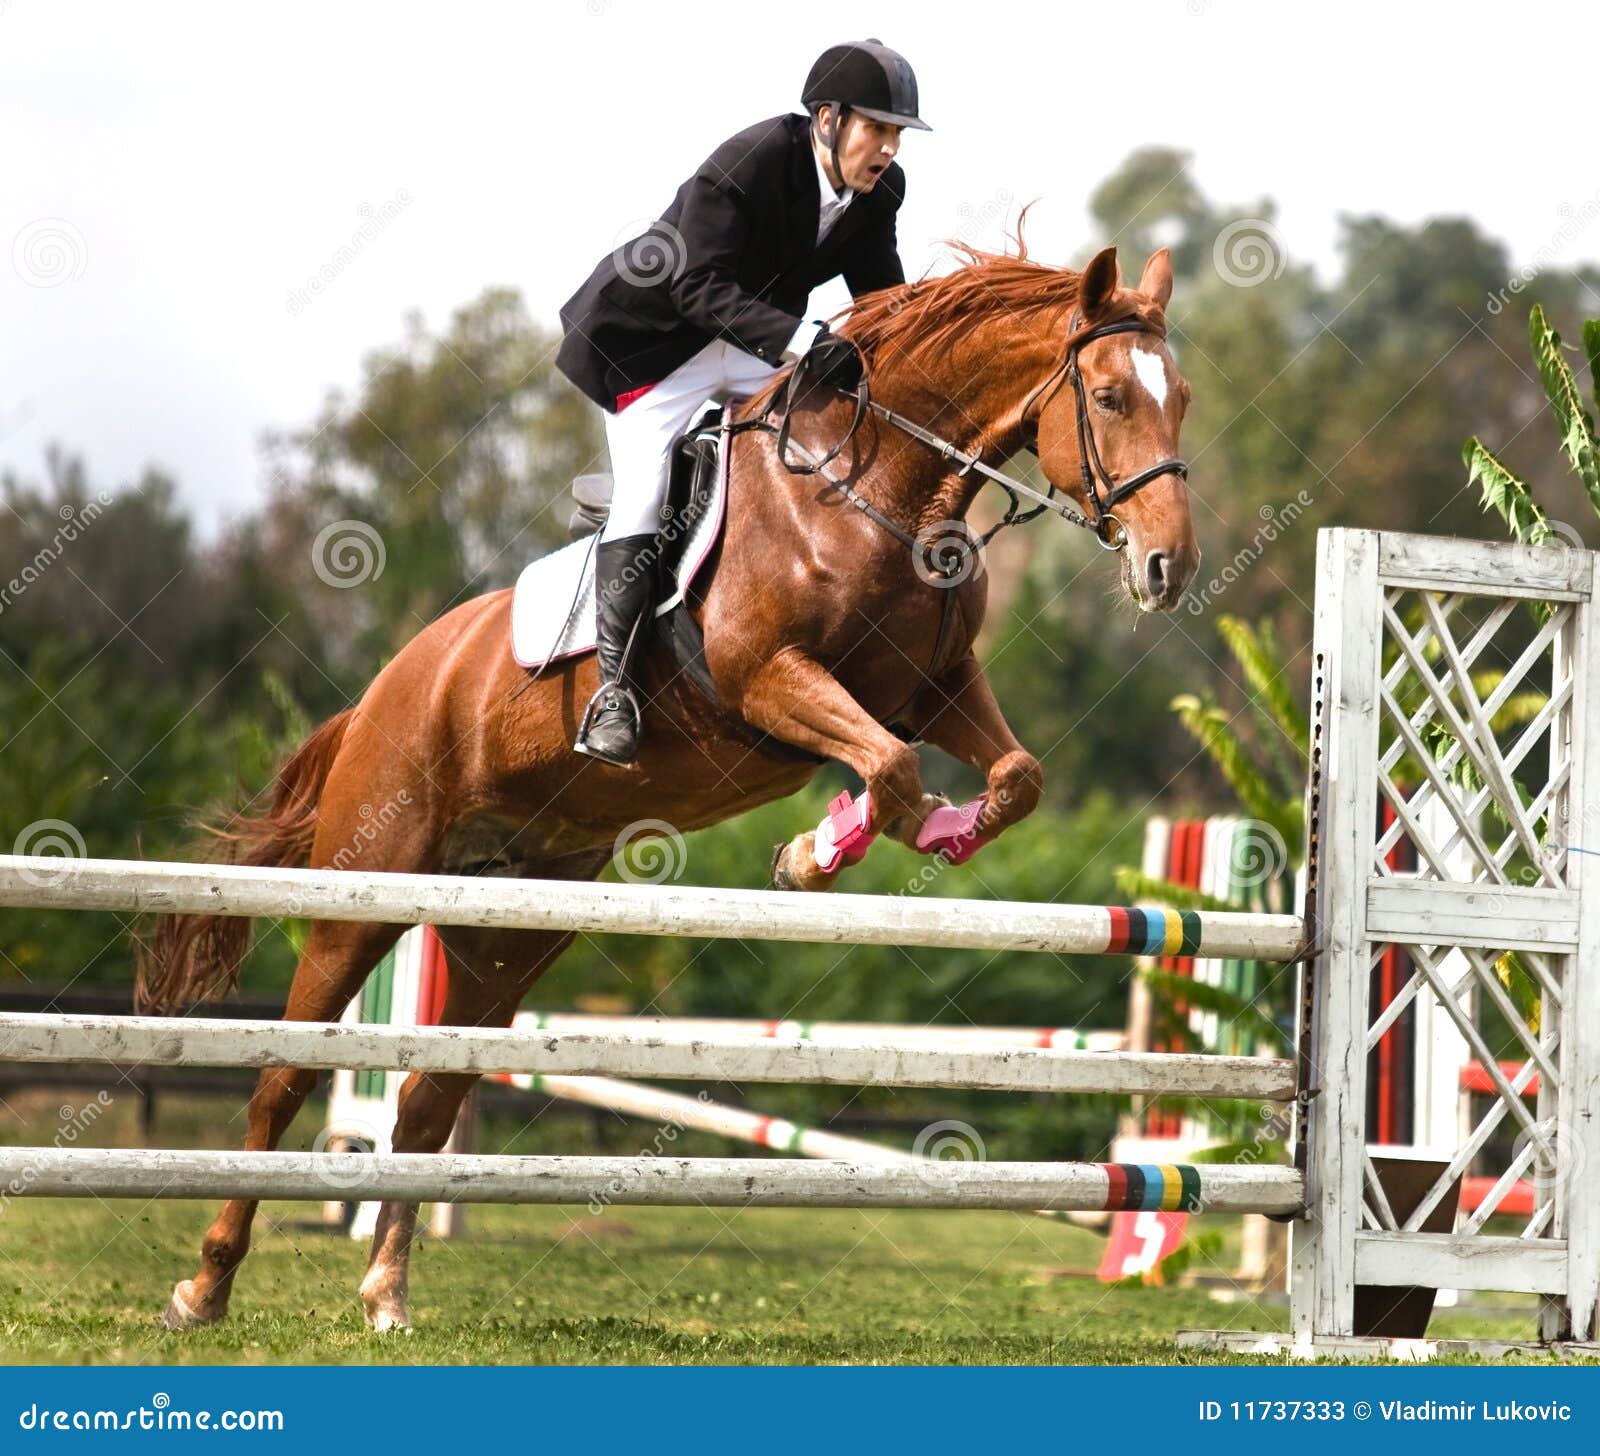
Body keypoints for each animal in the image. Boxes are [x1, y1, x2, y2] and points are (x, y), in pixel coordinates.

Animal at [142, 238, 1198, 1332]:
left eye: (1185, 400)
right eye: (1111, 395)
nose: (1168, 567)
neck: (882, 491)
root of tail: (388, 684)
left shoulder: (935, 686)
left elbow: (1013, 776)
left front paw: (925, 832)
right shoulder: (770, 678)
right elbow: (893, 769)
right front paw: (816, 852)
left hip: (510, 922)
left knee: (428, 1098)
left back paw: (385, 1294)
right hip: (371, 880)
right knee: (283, 1073)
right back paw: (203, 1286)